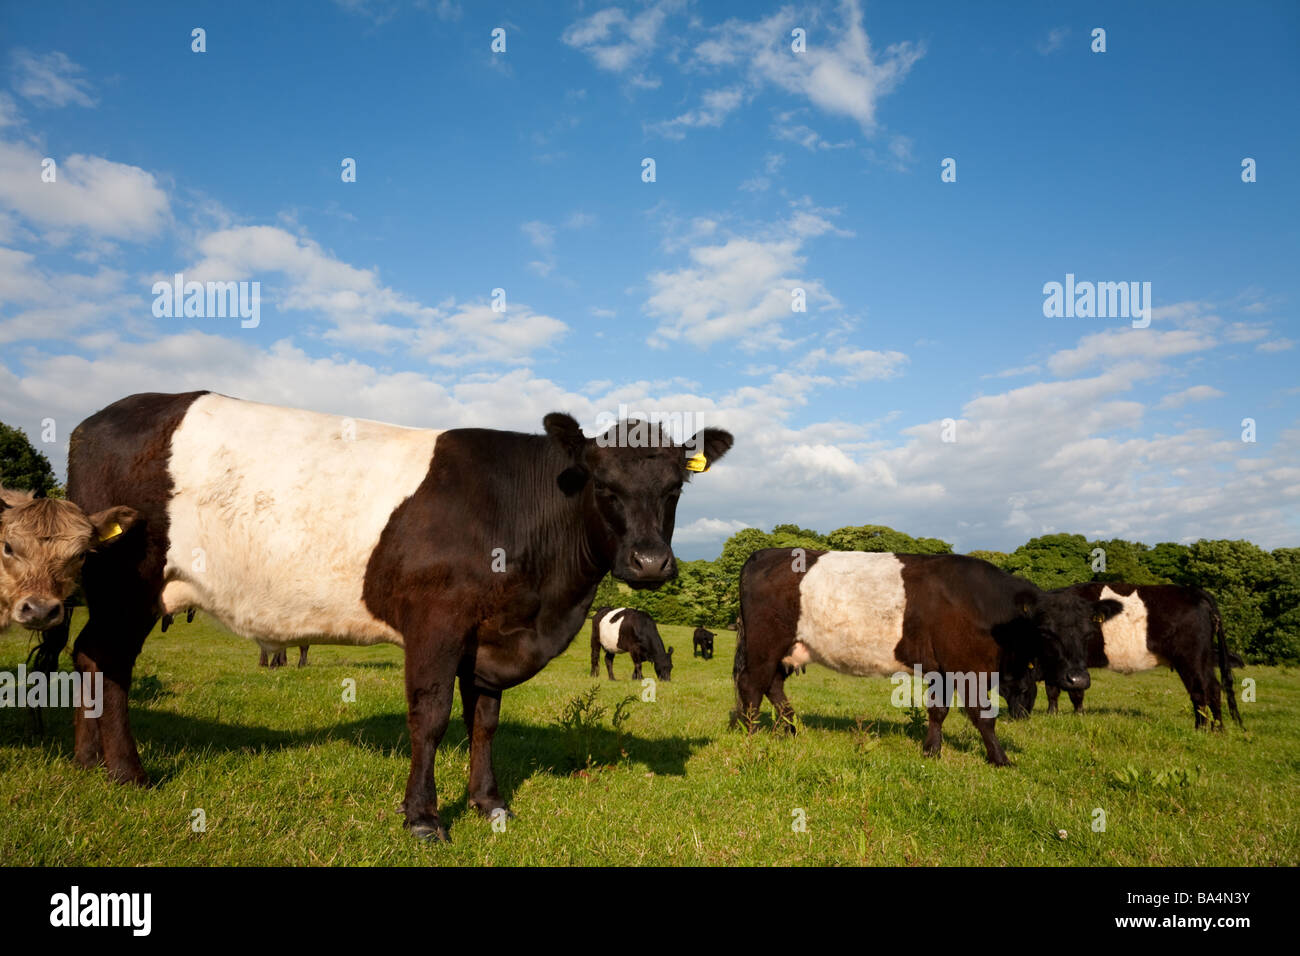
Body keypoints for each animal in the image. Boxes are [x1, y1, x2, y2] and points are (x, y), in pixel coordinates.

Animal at [55, 391, 731, 842]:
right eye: (602, 484)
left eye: (675, 489)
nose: (650, 562)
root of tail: (95, 420)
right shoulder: (437, 620)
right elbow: (430, 718)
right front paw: (424, 818)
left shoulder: (489, 637)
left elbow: (484, 722)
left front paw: (489, 804)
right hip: (128, 583)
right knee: (110, 663)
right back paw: (128, 772)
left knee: (87, 653)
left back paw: (87, 764)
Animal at [733, 549, 1123, 765]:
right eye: (1046, 631)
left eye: (1089, 633)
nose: (1078, 679)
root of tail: (764, 553)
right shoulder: (969, 669)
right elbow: (983, 716)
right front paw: (1000, 759)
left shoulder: (944, 670)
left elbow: (938, 710)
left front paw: (931, 751)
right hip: (766, 643)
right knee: (752, 685)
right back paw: (751, 735)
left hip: (788, 649)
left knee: (772, 686)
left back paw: (792, 729)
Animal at [1002, 583, 1243, 729]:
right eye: (1002, 691)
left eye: (1021, 689)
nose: (1016, 717)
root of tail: (1194, 592)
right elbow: (1053, 691)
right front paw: (1052, 714)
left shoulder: (1076, 667)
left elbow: (1076, 692)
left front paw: (1079, 716)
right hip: (1200, 659)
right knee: (1207, 690)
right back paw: (1210, 729)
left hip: (1192, 658)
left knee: (1204, 690)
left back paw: (1208, 730)